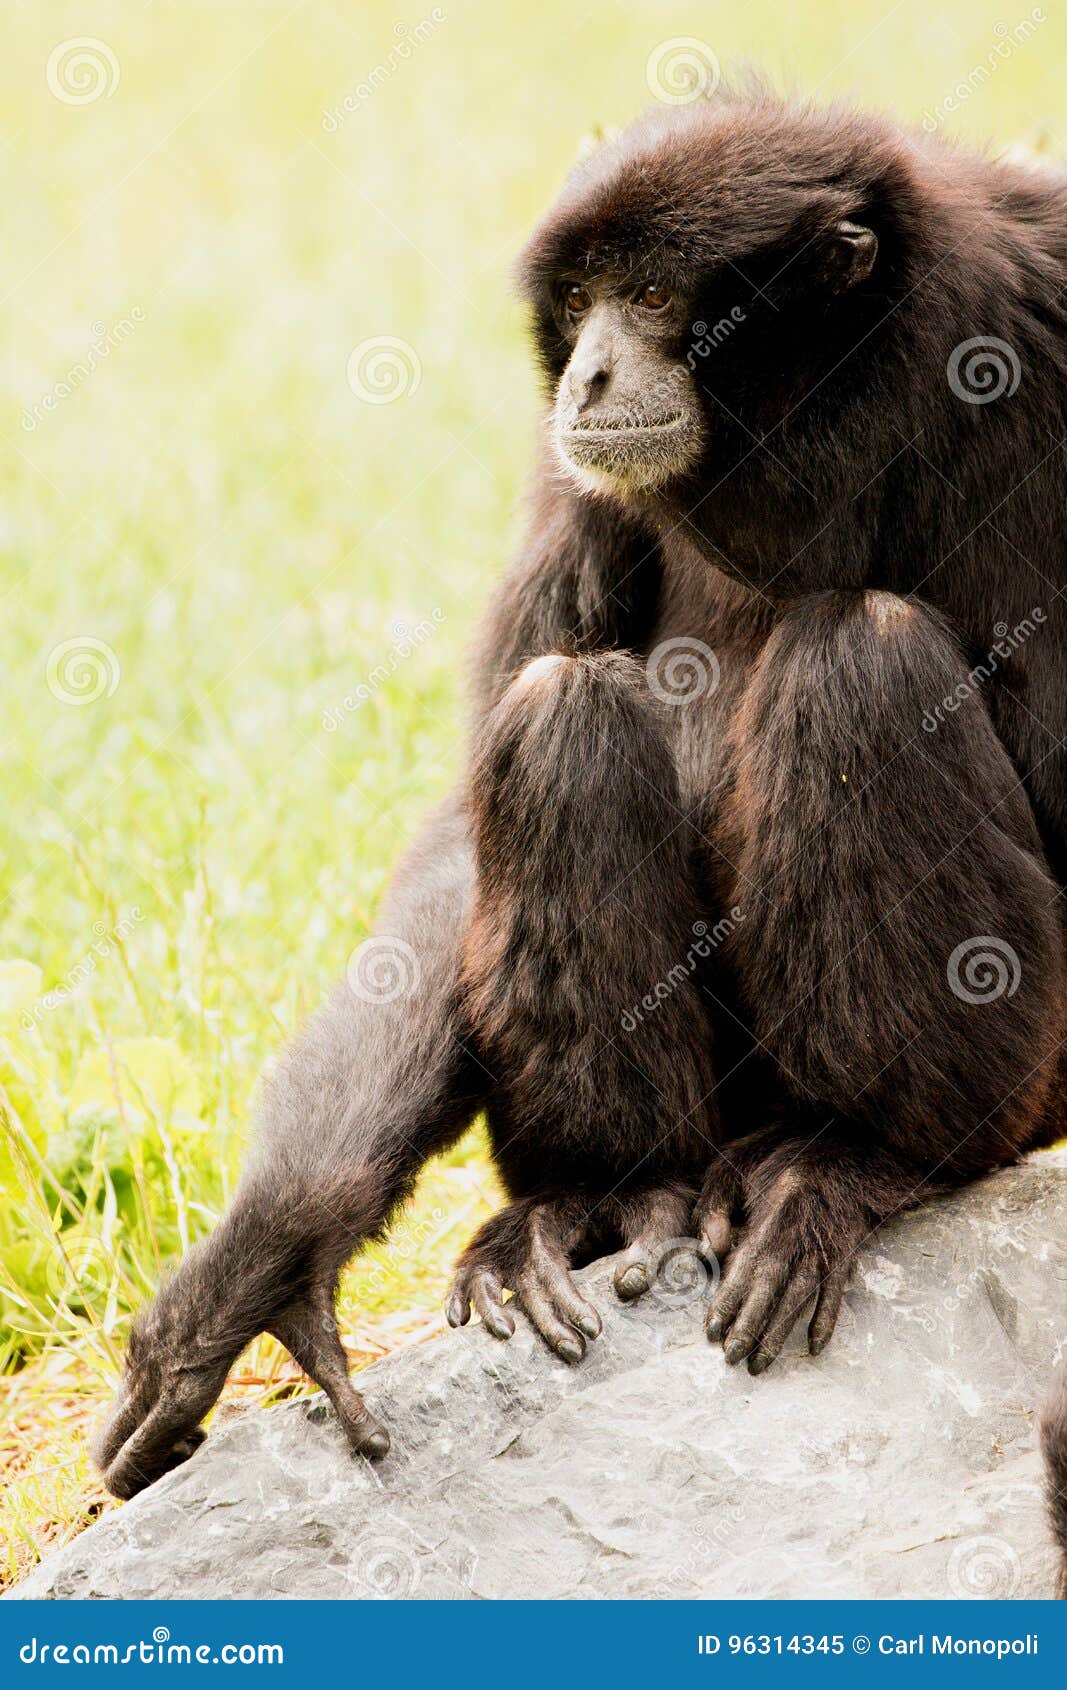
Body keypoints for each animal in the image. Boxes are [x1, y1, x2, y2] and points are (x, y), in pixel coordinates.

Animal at [96, 89, 1067, 1588]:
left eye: (656, 296)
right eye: (578, 303)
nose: (594, 375)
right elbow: (462, 812)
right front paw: (255, 1270)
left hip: (1026, 1082)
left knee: (857, 650)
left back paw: (851, 1154)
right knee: (562, 703)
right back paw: (605, 1197)